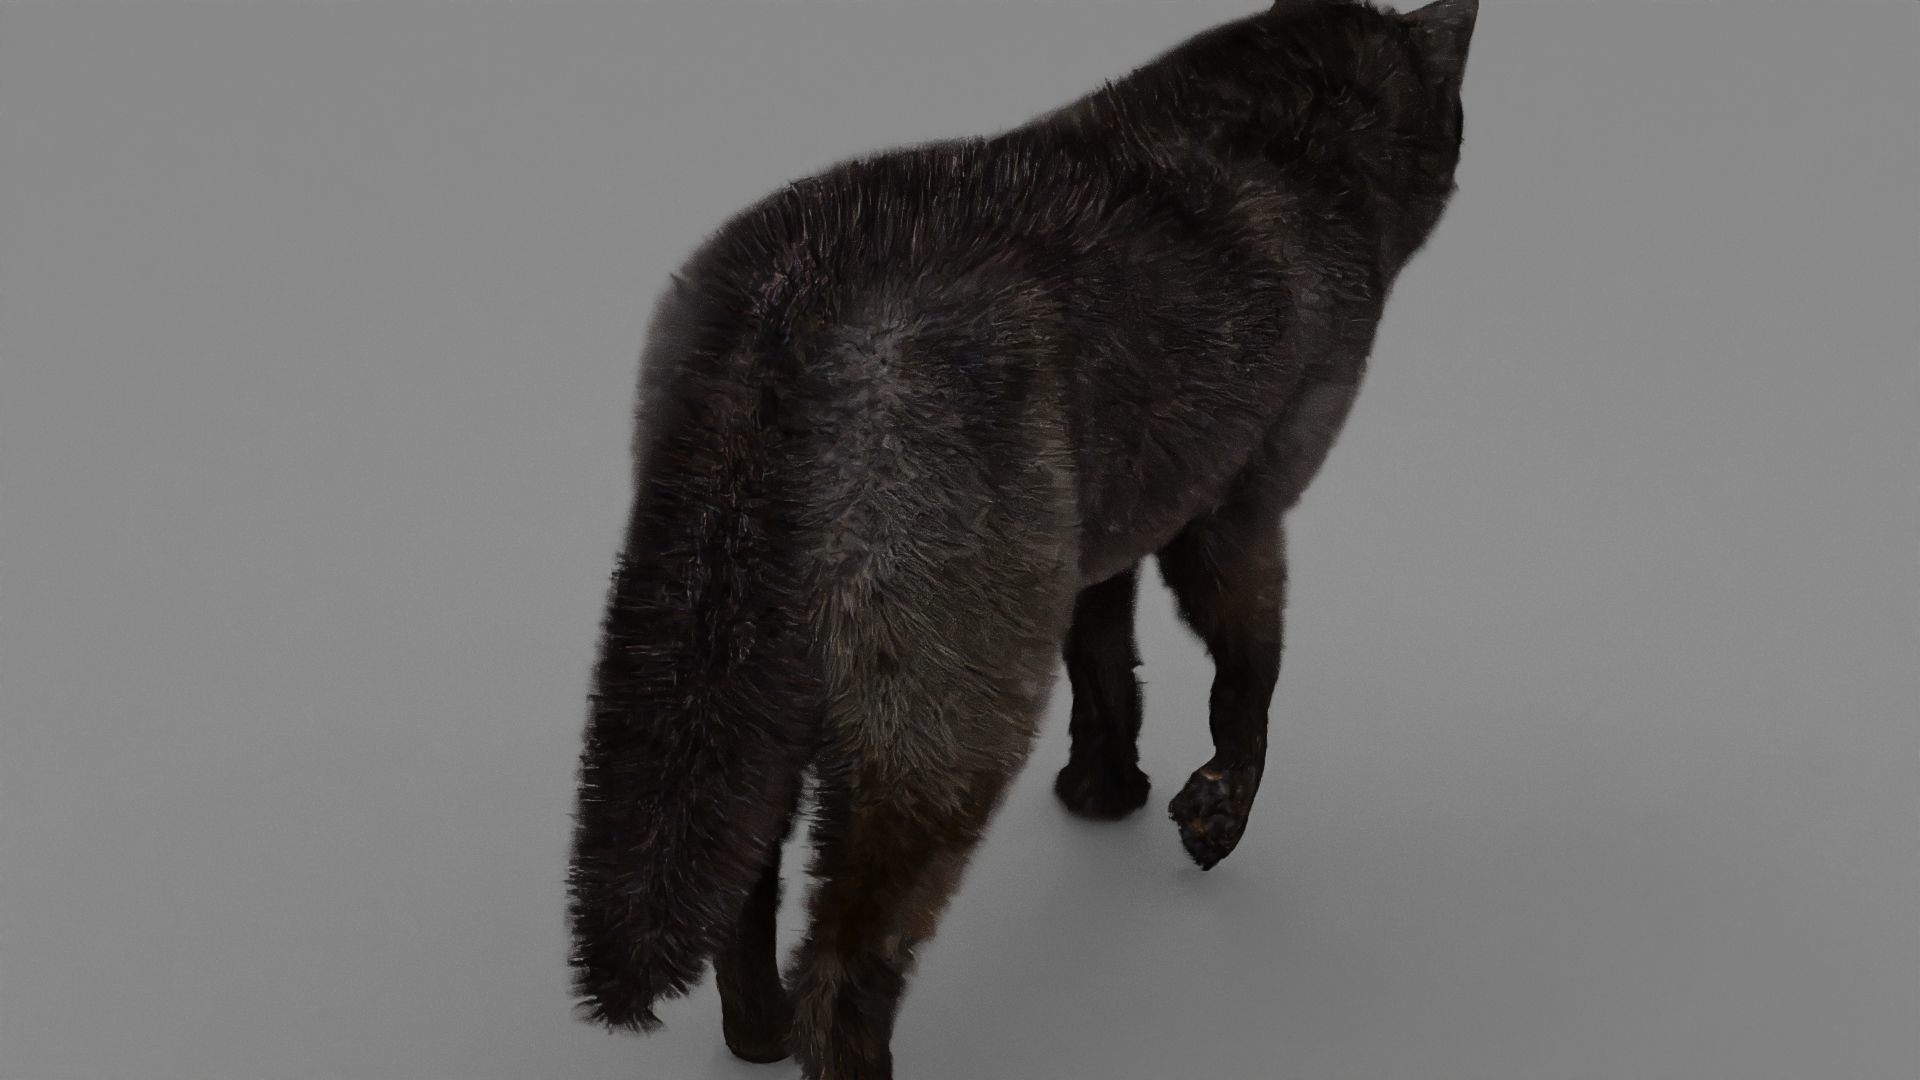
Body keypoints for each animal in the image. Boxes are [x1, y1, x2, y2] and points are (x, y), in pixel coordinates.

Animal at [567, 1, 1477, 1075]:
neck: (1287, 132)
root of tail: (792, 303)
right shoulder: (1240, 512)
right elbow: (1248, 672)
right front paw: (1212, 815)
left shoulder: (1093, 541)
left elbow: (1108, 663)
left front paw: (1102, 792)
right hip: (946, 724)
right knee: (849, 955)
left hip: (752, 694)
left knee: (742, 883)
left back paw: (758, 1035)